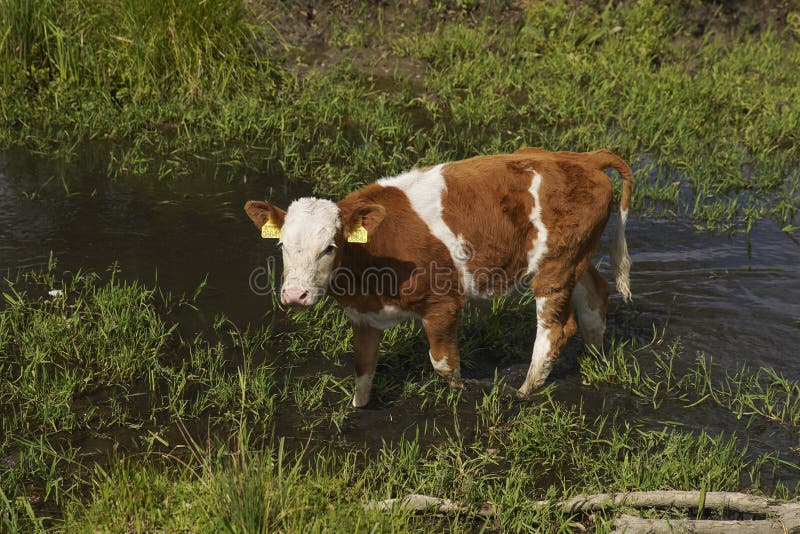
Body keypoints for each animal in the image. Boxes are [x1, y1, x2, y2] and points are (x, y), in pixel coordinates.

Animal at [245, 147, 633, 407]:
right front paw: (357, 410)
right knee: (595, 295)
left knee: (555, 329)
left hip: (556, 267)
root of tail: (583, 158)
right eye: (281, 244)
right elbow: (363, 369)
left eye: (329, 247)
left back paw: (525, 390)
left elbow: (444, 365)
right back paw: (595, 358)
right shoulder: (364, 316)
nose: (295, 295)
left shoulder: (443, 303)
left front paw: (460, 395)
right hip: (575, 257)